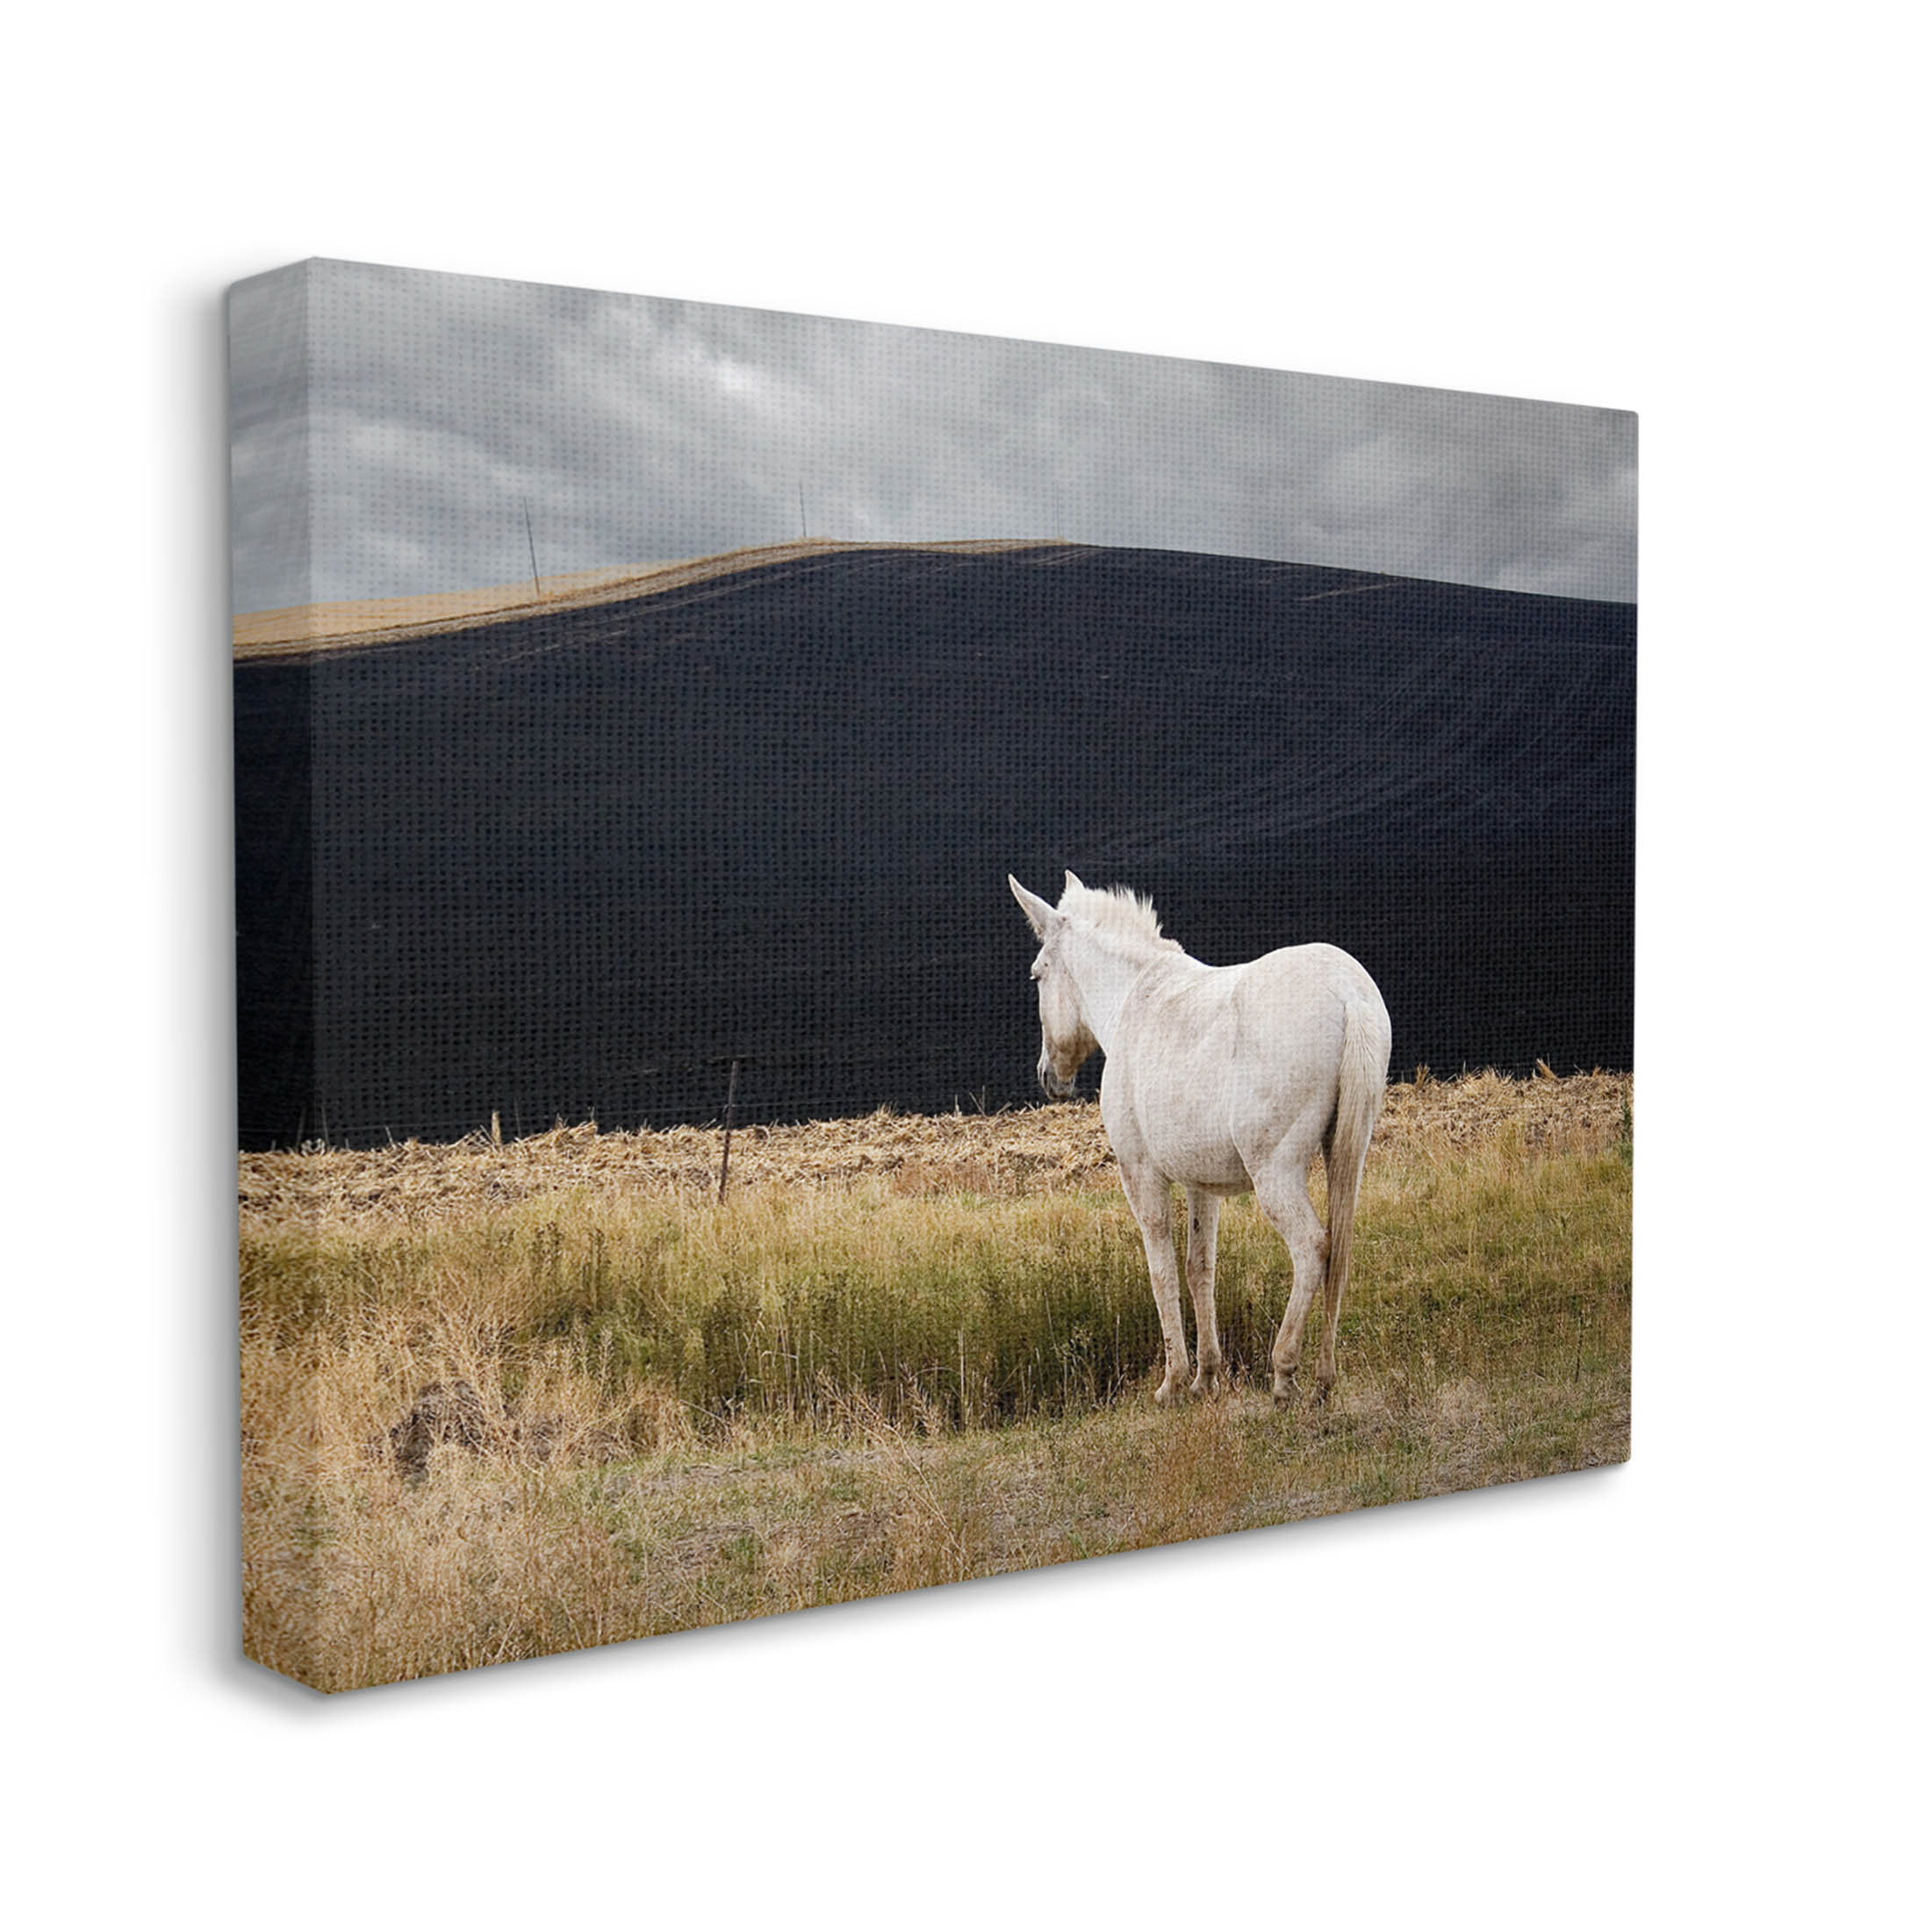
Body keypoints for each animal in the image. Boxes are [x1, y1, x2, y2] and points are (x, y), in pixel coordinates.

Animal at [1009, 871, 1392, 1407]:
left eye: (1038, 975)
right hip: (1348, 1157)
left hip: (1275, 1174)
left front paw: (1173, 1381)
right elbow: (1200, 1269)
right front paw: (1206, 1376)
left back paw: (1284, 1372)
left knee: (1313, 1247)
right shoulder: (1200, 1185)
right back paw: (1324, 1378)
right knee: (1339, 1250)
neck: (1136, 1000)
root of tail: (1347, 995)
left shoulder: (1141, 1175)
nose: (1050, 1076)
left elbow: (1163, 1272)